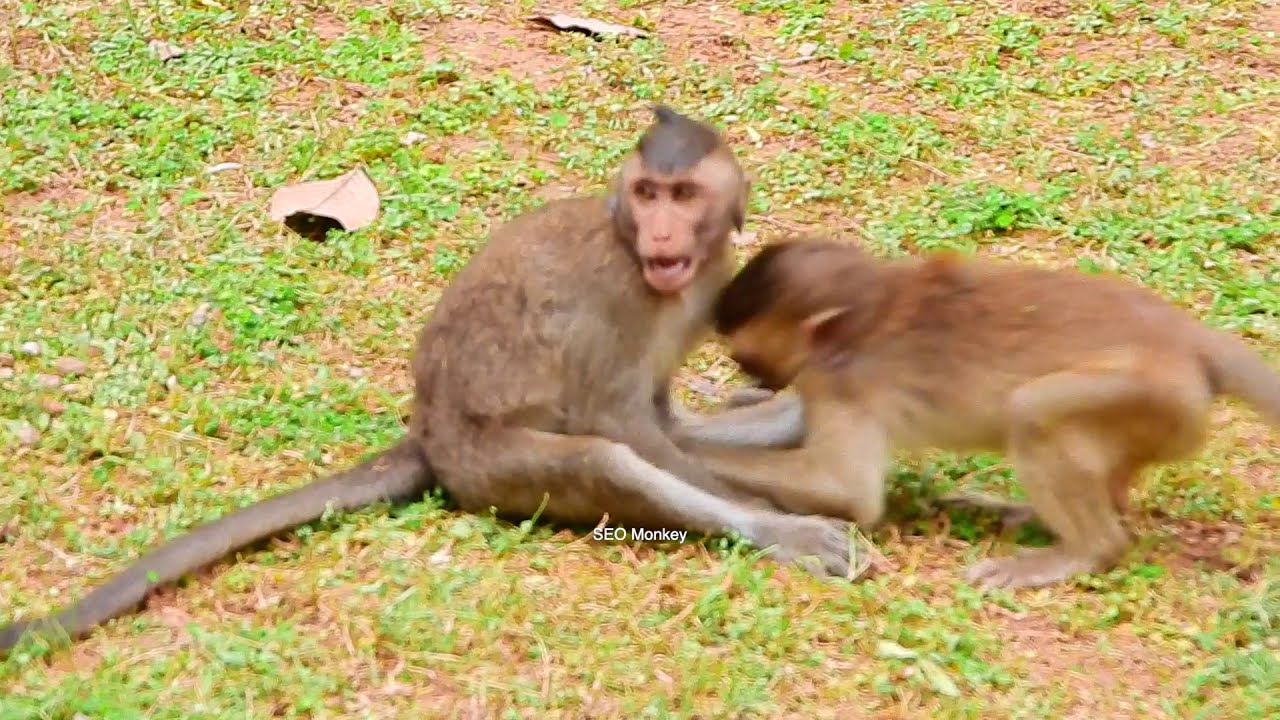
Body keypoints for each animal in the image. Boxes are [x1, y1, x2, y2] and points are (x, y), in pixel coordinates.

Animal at [0, 108, 852, 655]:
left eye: (684, 195)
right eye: (649, 194)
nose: (664, 232)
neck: (655, 263)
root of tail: (429, 433)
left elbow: (665, 422)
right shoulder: (619, 297)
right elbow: (625, 426)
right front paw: (779, 514)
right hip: (492, 466)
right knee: (603, 460)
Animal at [676, 237, 1280, 590]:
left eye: (745, 356)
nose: (755, 380)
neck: (872, 308)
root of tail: (1190, 340)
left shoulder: (843, 377)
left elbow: (845, 489)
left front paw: (680, 447)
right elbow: (793, 424)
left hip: (1154, 395)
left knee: (1033, 412)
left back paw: (1086, 551)